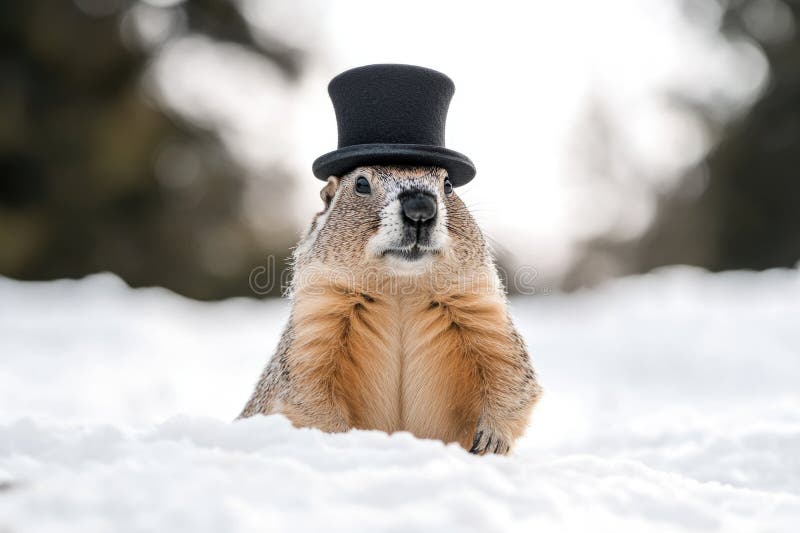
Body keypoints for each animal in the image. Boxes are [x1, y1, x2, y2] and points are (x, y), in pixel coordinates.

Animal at [239, 165, 541, 455]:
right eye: (361, 183)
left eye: (448, 185)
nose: (420, 207)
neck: (400, 289)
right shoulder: (316, 319)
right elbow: (307, 385)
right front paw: (338, 438)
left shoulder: (482, 308)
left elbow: (508, 370)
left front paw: (492, 439)